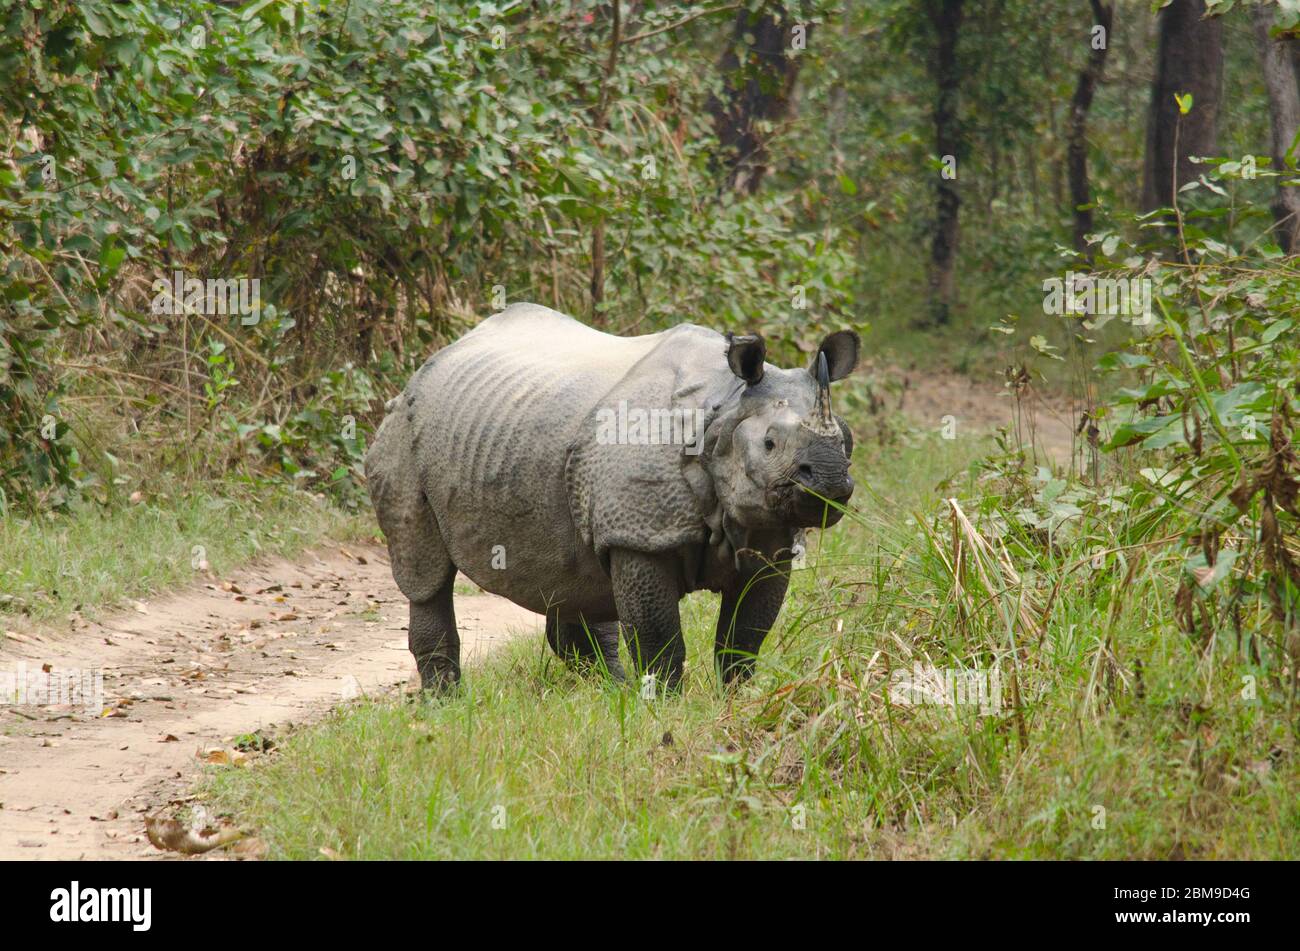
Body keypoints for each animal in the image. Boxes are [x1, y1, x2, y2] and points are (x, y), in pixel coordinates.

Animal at [365, 303, 859, 691]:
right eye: (770, 444)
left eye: (847, 441)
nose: (830, 478)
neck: (726, 407)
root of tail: (429, 363)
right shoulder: (639, 535)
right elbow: (659, 639)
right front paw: (663, 706)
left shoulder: (768, 536)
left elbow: (743, 640)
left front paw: (737, 698)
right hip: (403, 434)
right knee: (426, 574)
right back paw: (444, 703)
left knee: (576, 576)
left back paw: (611, 689)